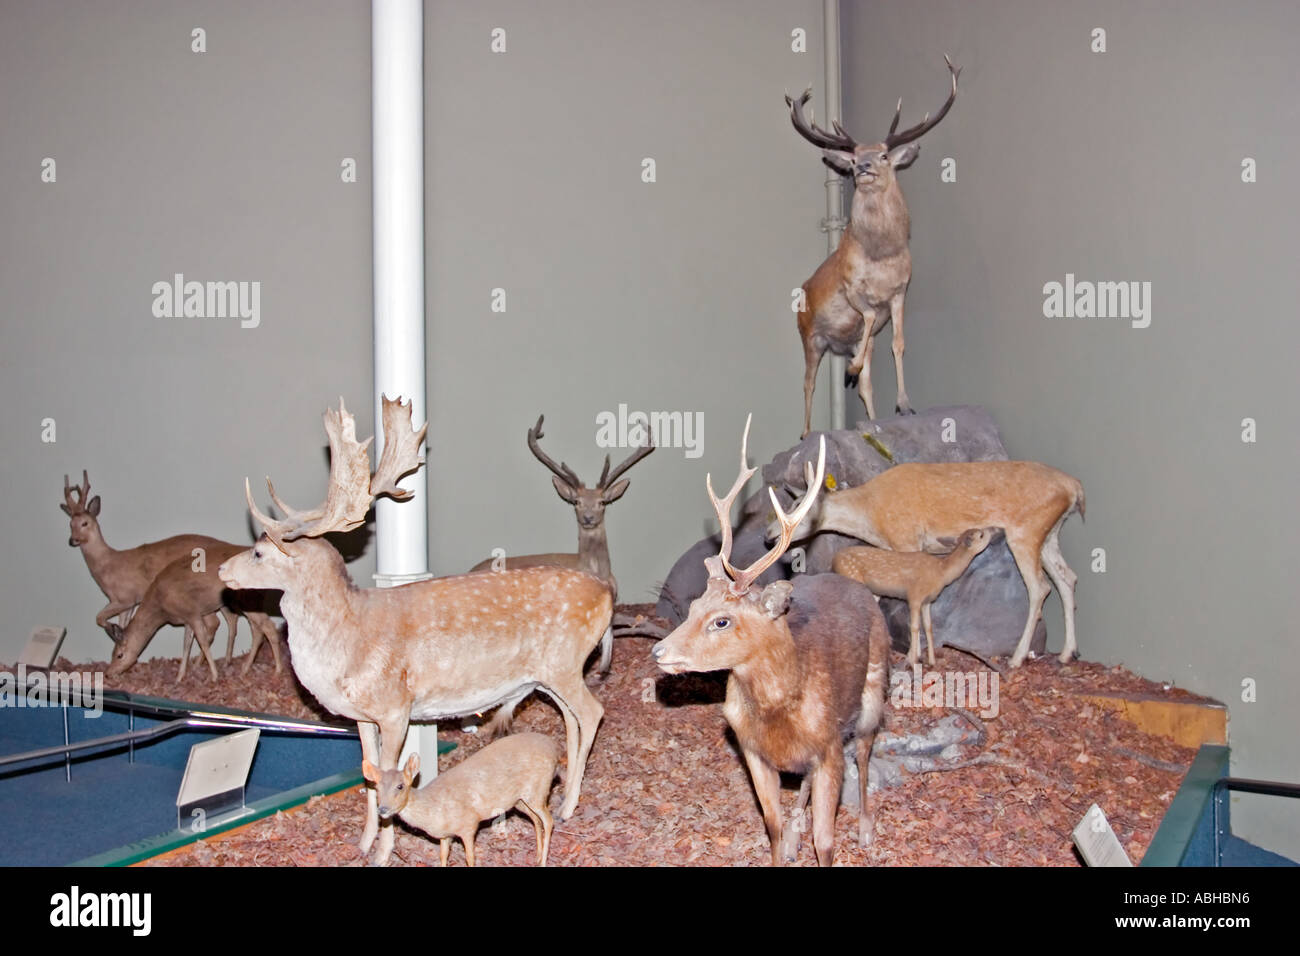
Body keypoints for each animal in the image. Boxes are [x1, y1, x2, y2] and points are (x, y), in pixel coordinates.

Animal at [104, 543, 283, 682]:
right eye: (111, 653)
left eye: (119, 655)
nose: (108, 673)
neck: (160, 608)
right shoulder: (186, 619)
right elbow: (186, 644)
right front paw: (180, 677)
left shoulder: (193, 613)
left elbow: (202, 641)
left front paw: (214, 676)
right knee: (258, 630)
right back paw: (245, 669)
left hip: (246, 602)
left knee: (268, 626)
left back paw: (277, 670)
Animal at [362, 732, 559, 867]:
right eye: (377, 788)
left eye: (400, 786)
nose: (383, 809)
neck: (434, 808)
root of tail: (554, 749)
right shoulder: (445, 835)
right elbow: (443, 856)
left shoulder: (469, 825)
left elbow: (470, 858)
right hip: (520, 800)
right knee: (536, 820)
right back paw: (537, 856)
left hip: (538, 789)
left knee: (549, 820)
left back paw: (543, 862)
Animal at [651, 418, 891, 866]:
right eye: (692, 606)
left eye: (722, 620)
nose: (659, 651)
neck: (781, 710)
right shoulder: (753, 752)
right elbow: (772, 826)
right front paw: (788, 840)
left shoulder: (830, 747)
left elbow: (826, 840)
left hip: (873, 690)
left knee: (866, 753)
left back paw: (867, 827)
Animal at [787, 57, 960, 435]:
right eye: (851, 158)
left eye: (883, 155)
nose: (862, 167)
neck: (882, 255)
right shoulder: (852, 287)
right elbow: (866, 314)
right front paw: (850, 369)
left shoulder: (900, 291)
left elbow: (898, 344)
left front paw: (905, 405)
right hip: (809, 335)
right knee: (808, 382)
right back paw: (806, 432)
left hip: (843, 337)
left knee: (864, 377)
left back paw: (871, 417)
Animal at [833, 527, 998, 666]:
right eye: (981, 534)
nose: (994, 529)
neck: (941, 572)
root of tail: (833, 562)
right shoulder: (914, 595)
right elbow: (914, 627)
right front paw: (912, 660)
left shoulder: (927, 601)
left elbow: (928, 627)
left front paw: (931, 661)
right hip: (852, 577)